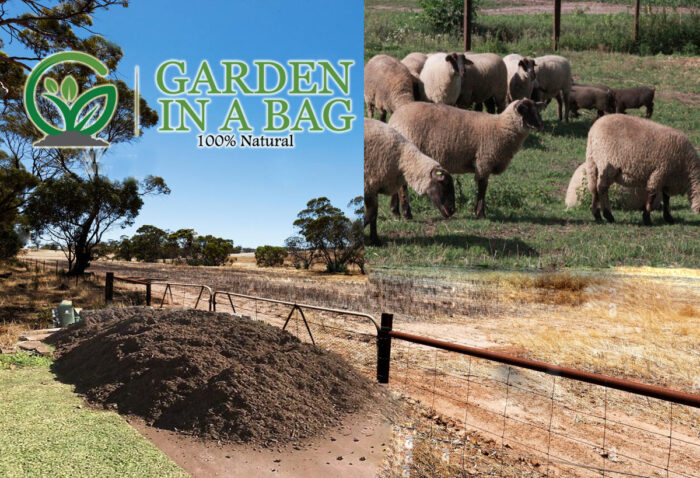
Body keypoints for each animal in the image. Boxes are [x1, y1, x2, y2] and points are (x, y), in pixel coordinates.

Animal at [388, 99, 545, 219]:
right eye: (527, 111)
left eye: (537, 110)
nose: (540, 125)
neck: (501, 127)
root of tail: (394, 120)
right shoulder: (484, 161)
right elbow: (482, 188)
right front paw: (480, 214)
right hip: (409, 154)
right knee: (402, 186)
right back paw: (407, 213)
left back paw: (395, 212)